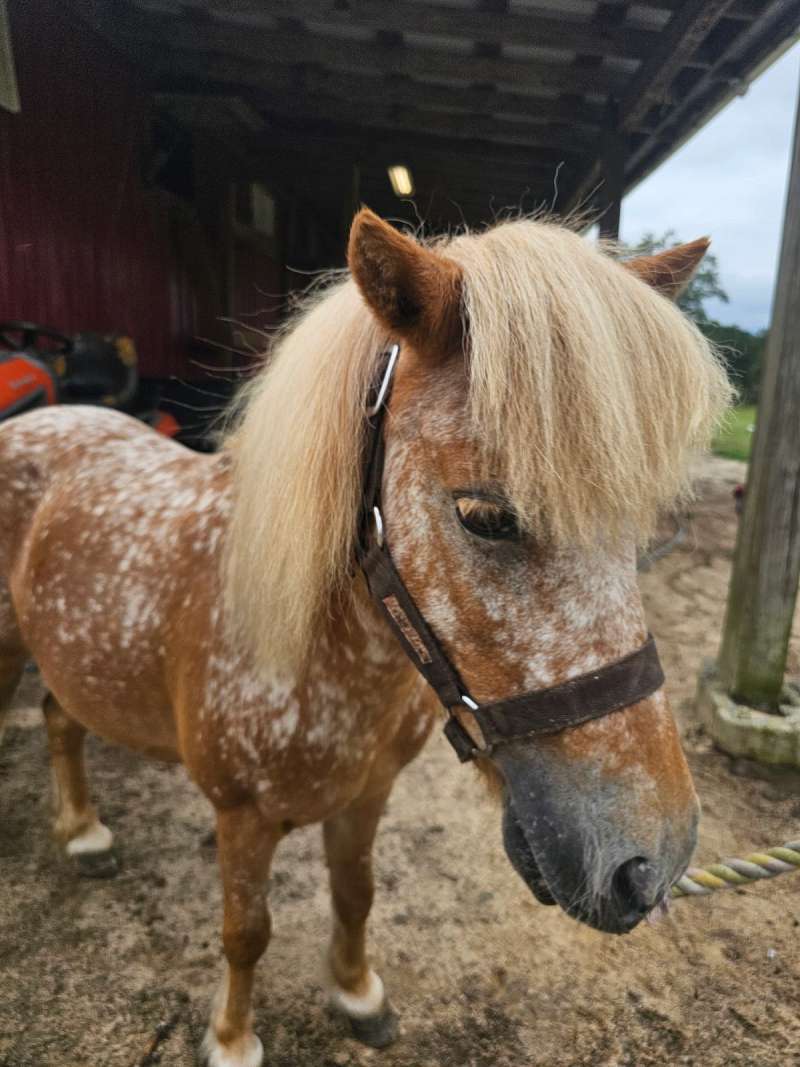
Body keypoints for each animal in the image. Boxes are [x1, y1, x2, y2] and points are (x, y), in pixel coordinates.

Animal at [0, 209, 731, 1067]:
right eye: (486, 515)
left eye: (639, 519)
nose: (652, 864)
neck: (317, 650)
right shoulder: (241, 814)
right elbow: (246, 932)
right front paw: (233, 1038)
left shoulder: (368, 793)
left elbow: (356, 894)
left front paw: (356, 992)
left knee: (59, 718)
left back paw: (85, 833)